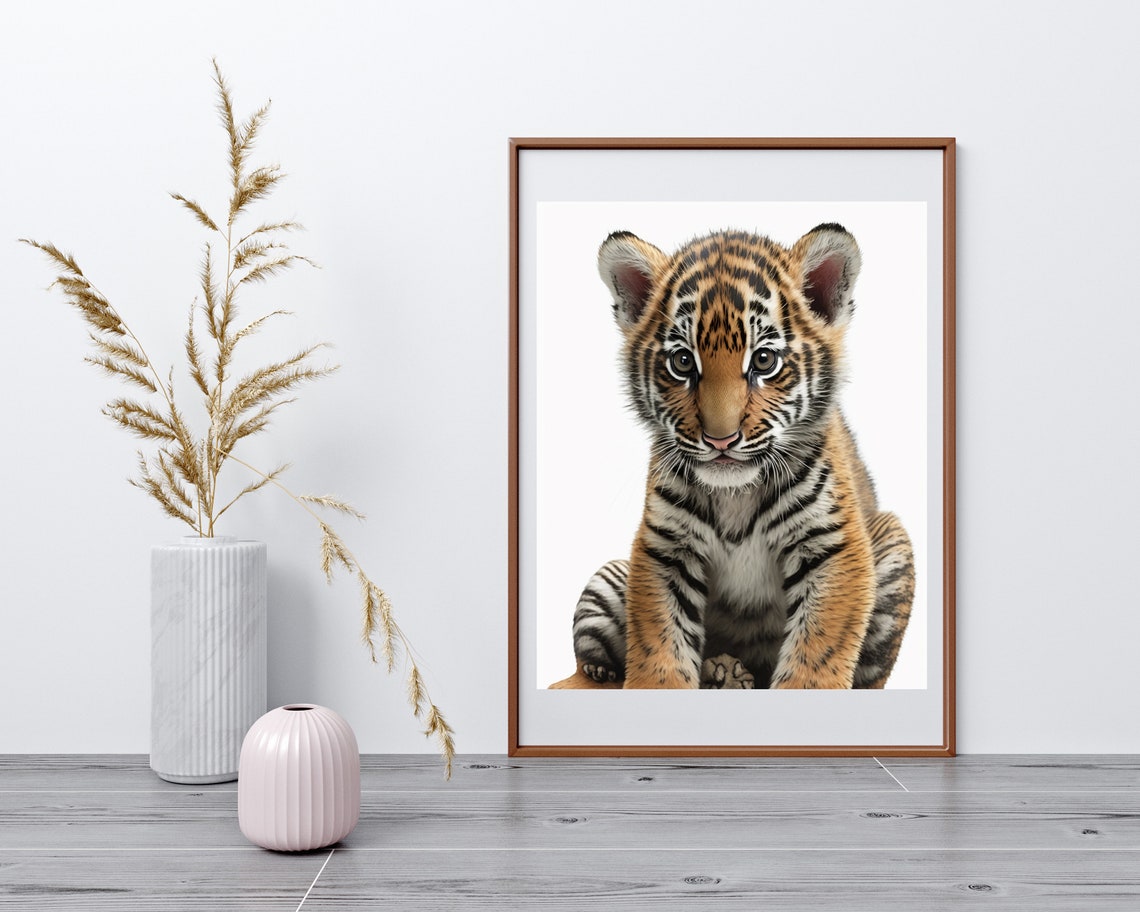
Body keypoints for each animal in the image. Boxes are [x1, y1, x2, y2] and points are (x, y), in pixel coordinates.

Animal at [549, 224, 915, 690]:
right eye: (682, 362)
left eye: (764, 360)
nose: (720, 440)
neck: (735, 494)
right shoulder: (665, 548)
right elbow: (659, 649)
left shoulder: (832, 546)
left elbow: (815, 657)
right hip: (608, 579)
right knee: (591, 661)